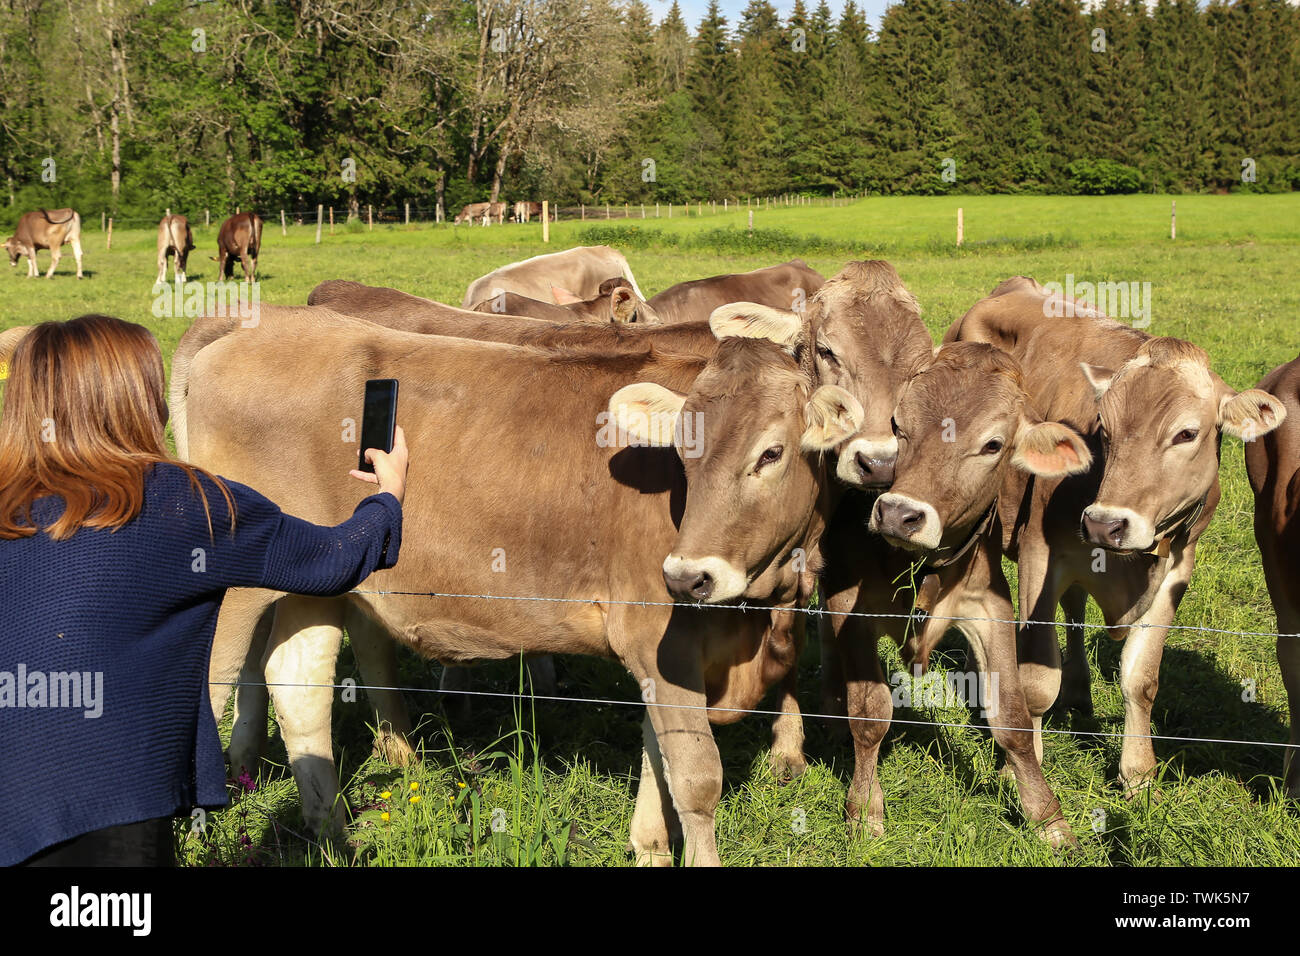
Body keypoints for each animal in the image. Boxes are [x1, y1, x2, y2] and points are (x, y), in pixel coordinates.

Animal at [181, 304, 859, 866]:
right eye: (684, 459)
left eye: (770, 453)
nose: (688, 574)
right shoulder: (659, 637)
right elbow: (694, 777)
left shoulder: (661, 655)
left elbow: (656, 758)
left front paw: (646, 848)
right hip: (230, 586)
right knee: (209, 687)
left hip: (316, 581)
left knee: (297, 685)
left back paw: (334, 837)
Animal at [940, 276, 1286, 794]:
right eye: (1104, 429)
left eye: (1187, 434)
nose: (1106, 523)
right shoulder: (1039, 554)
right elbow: (1036, 681)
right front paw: (1020, 769)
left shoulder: (1177, 568)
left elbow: (1140, 679)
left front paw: (1138, 773)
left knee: (1075, 608)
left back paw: (1079, 690)